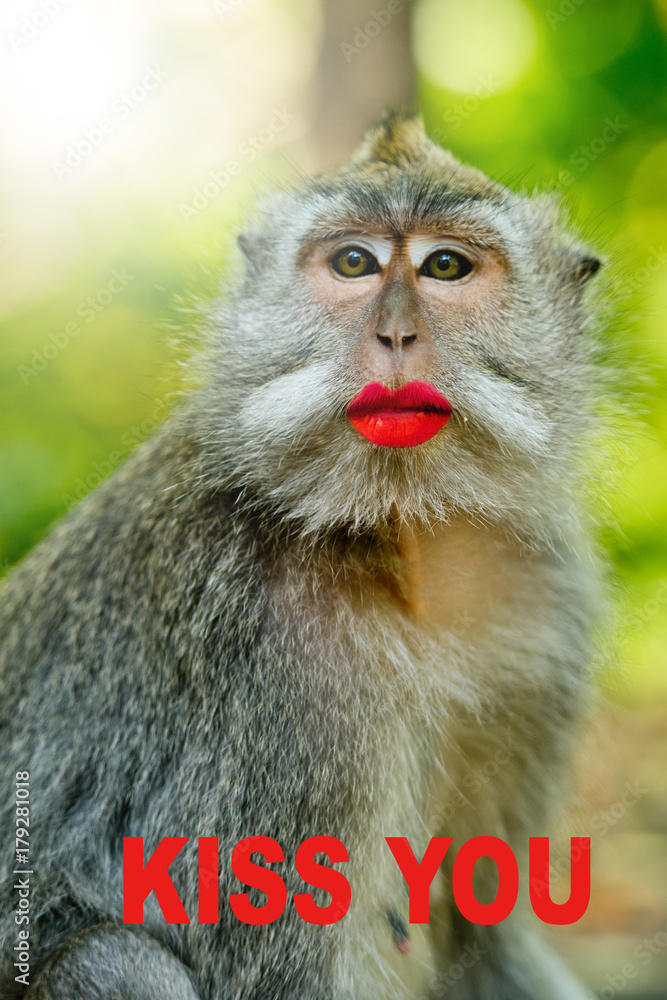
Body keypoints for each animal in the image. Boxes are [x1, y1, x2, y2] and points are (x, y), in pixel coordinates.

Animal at [0, 111, 607, 1000]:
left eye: (446, 266)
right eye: (353, 262)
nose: (395, 333)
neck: (393, 538)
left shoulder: (537, 616)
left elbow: (484, 939)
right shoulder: (272, 666)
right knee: (114, 958)